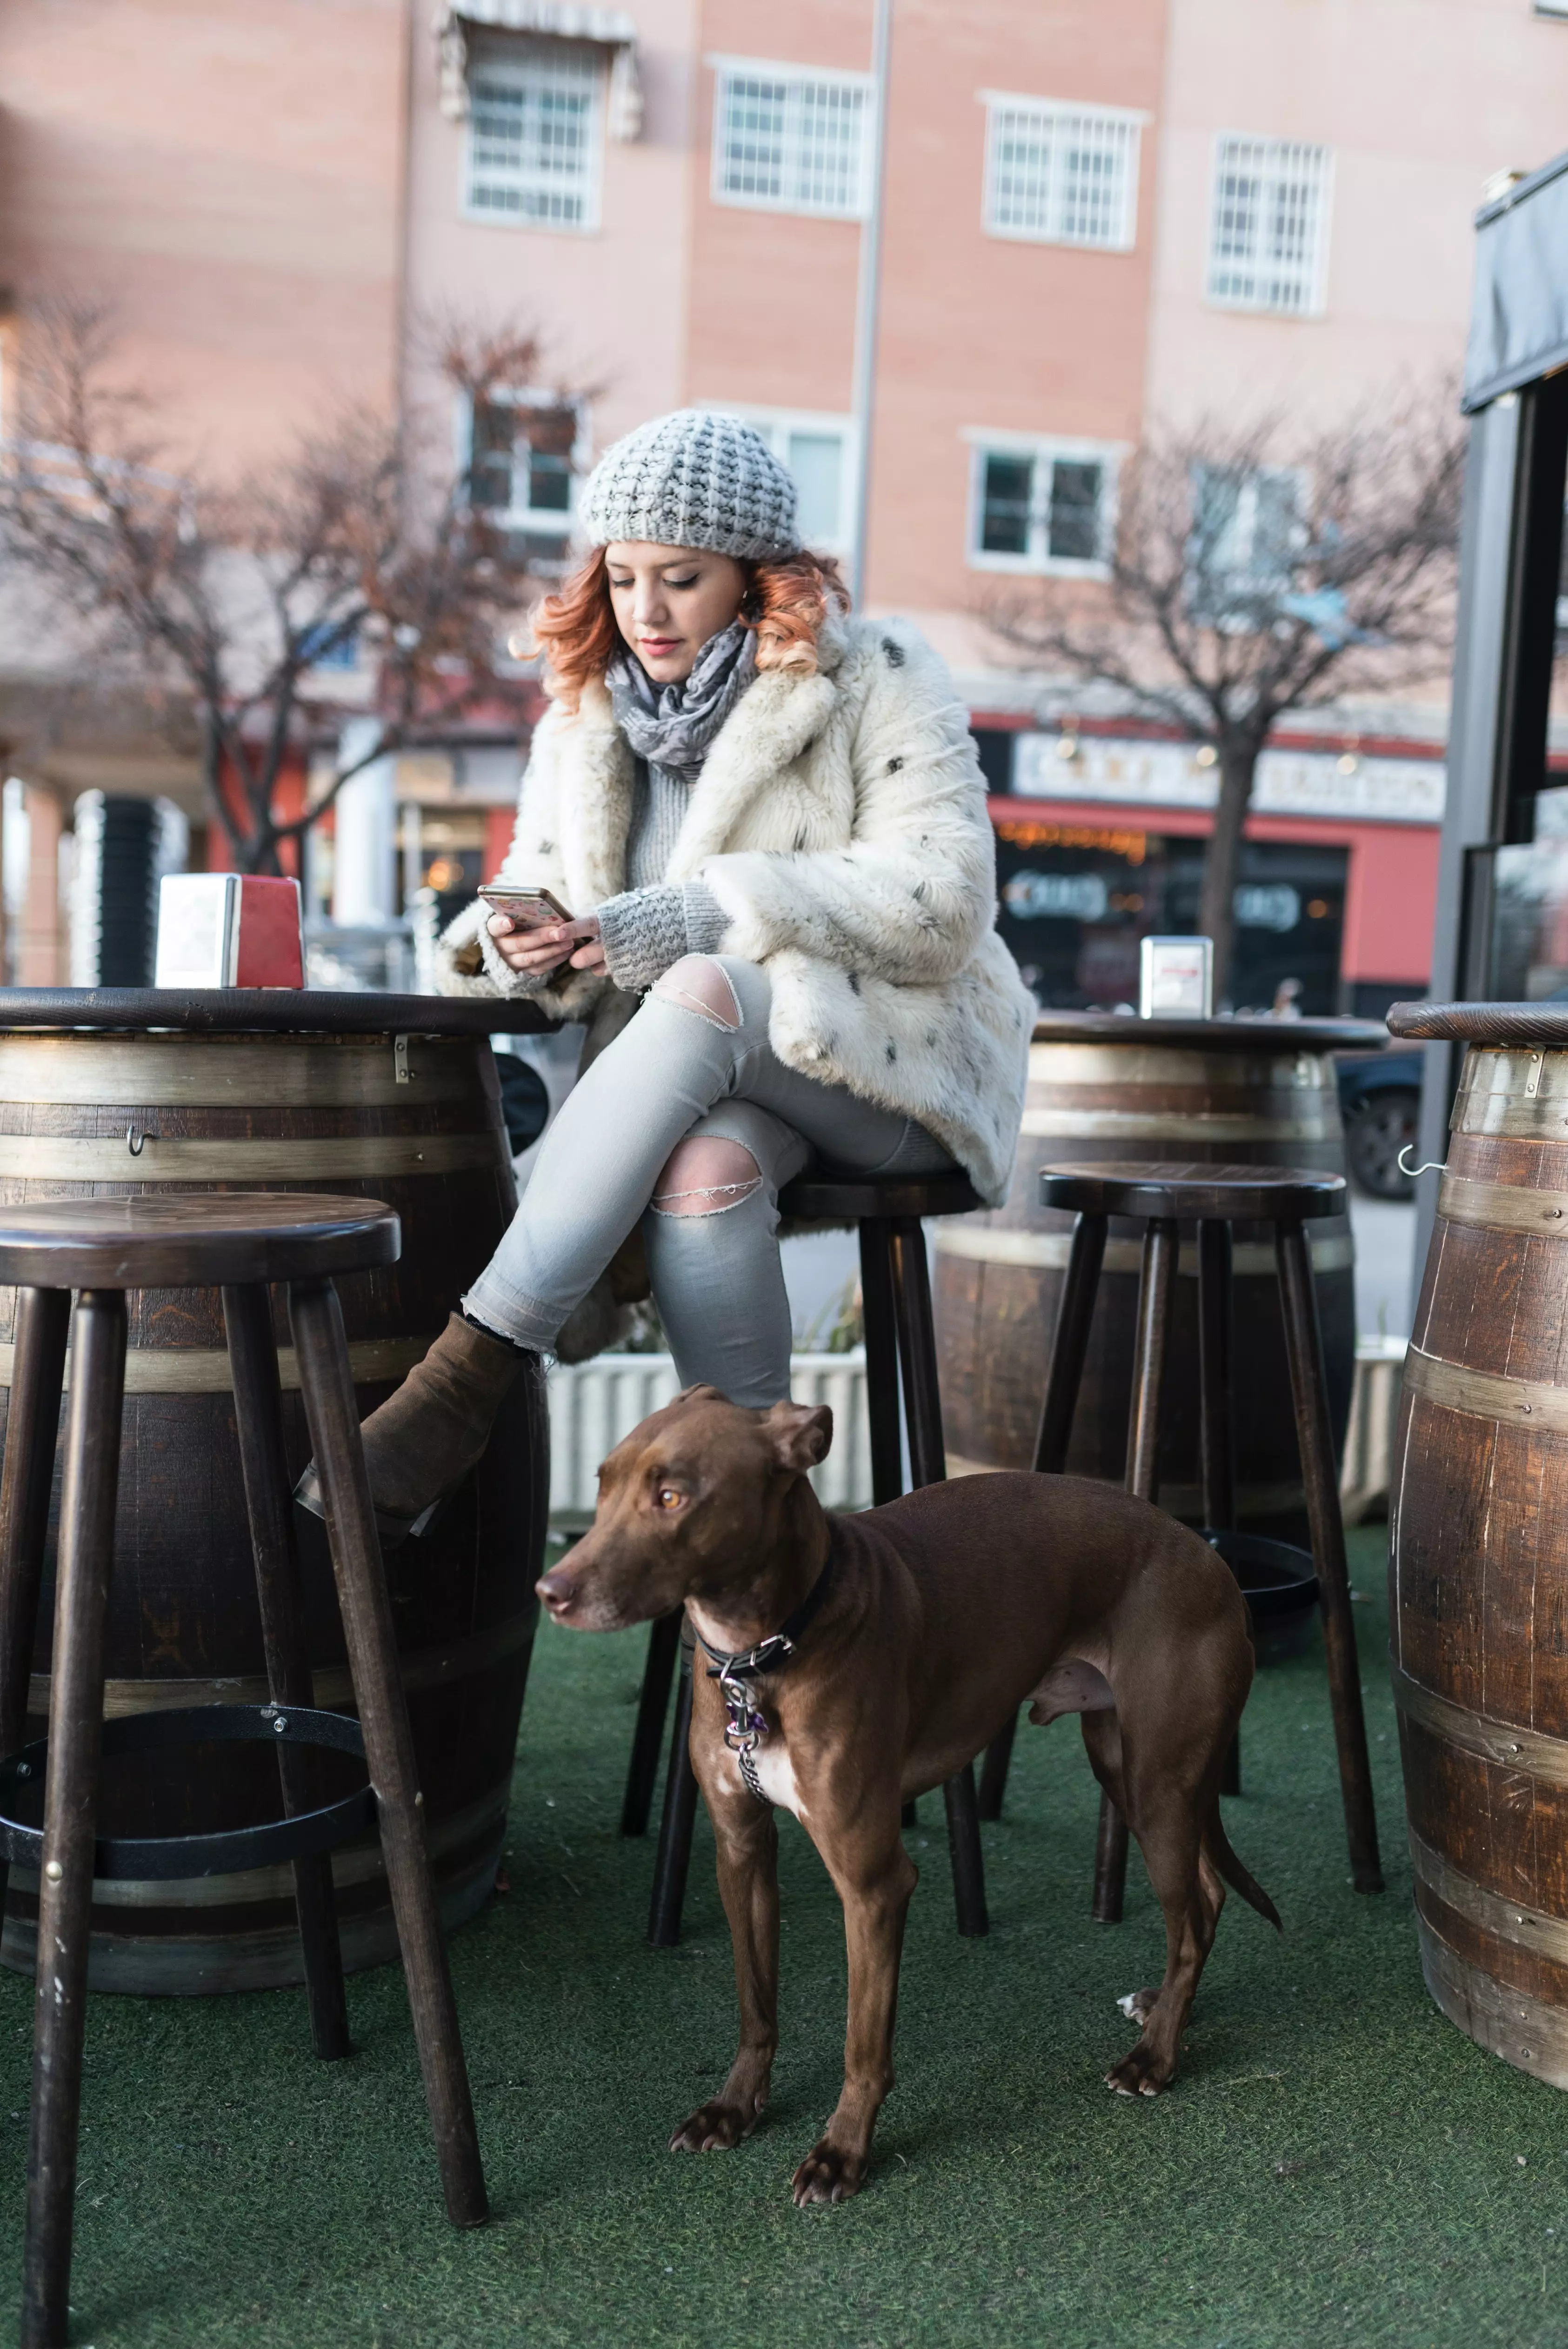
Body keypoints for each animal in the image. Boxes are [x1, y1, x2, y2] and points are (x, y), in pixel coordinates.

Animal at [535, 1381, 1277, 2189]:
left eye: (671, 1496)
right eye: (601, 1485)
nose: (549, 1591)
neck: (761, 1656)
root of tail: (1208, 1558)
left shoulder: (873, 1883)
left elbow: (863, 2042)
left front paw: (842, 2151)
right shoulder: (740, 1850)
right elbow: (755, 2004)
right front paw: (734, 2108)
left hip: (1155, 1778)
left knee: (1194, 1913)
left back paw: (1155, 2058)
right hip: (1129, 1769)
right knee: (1204, 1893)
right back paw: (1165, 2007)